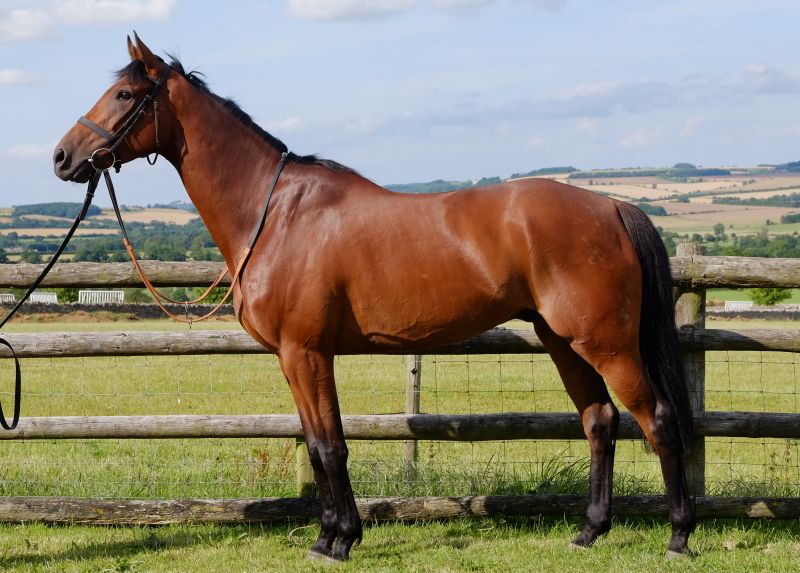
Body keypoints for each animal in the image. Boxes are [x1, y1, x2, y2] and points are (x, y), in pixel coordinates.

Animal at [53, 34, 695, 562]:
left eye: (124, 93)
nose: (62, 157)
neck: (274, 211)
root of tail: (612, 205)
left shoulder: (307, 353)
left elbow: (332, 446)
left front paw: (341, 542)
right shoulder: (293, 358)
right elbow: (317, 448)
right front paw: (326, 537)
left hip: (607, 343)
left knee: (658, 421)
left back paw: (679, 536)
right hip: (561, 340)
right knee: (599, 420)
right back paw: (590, 531)